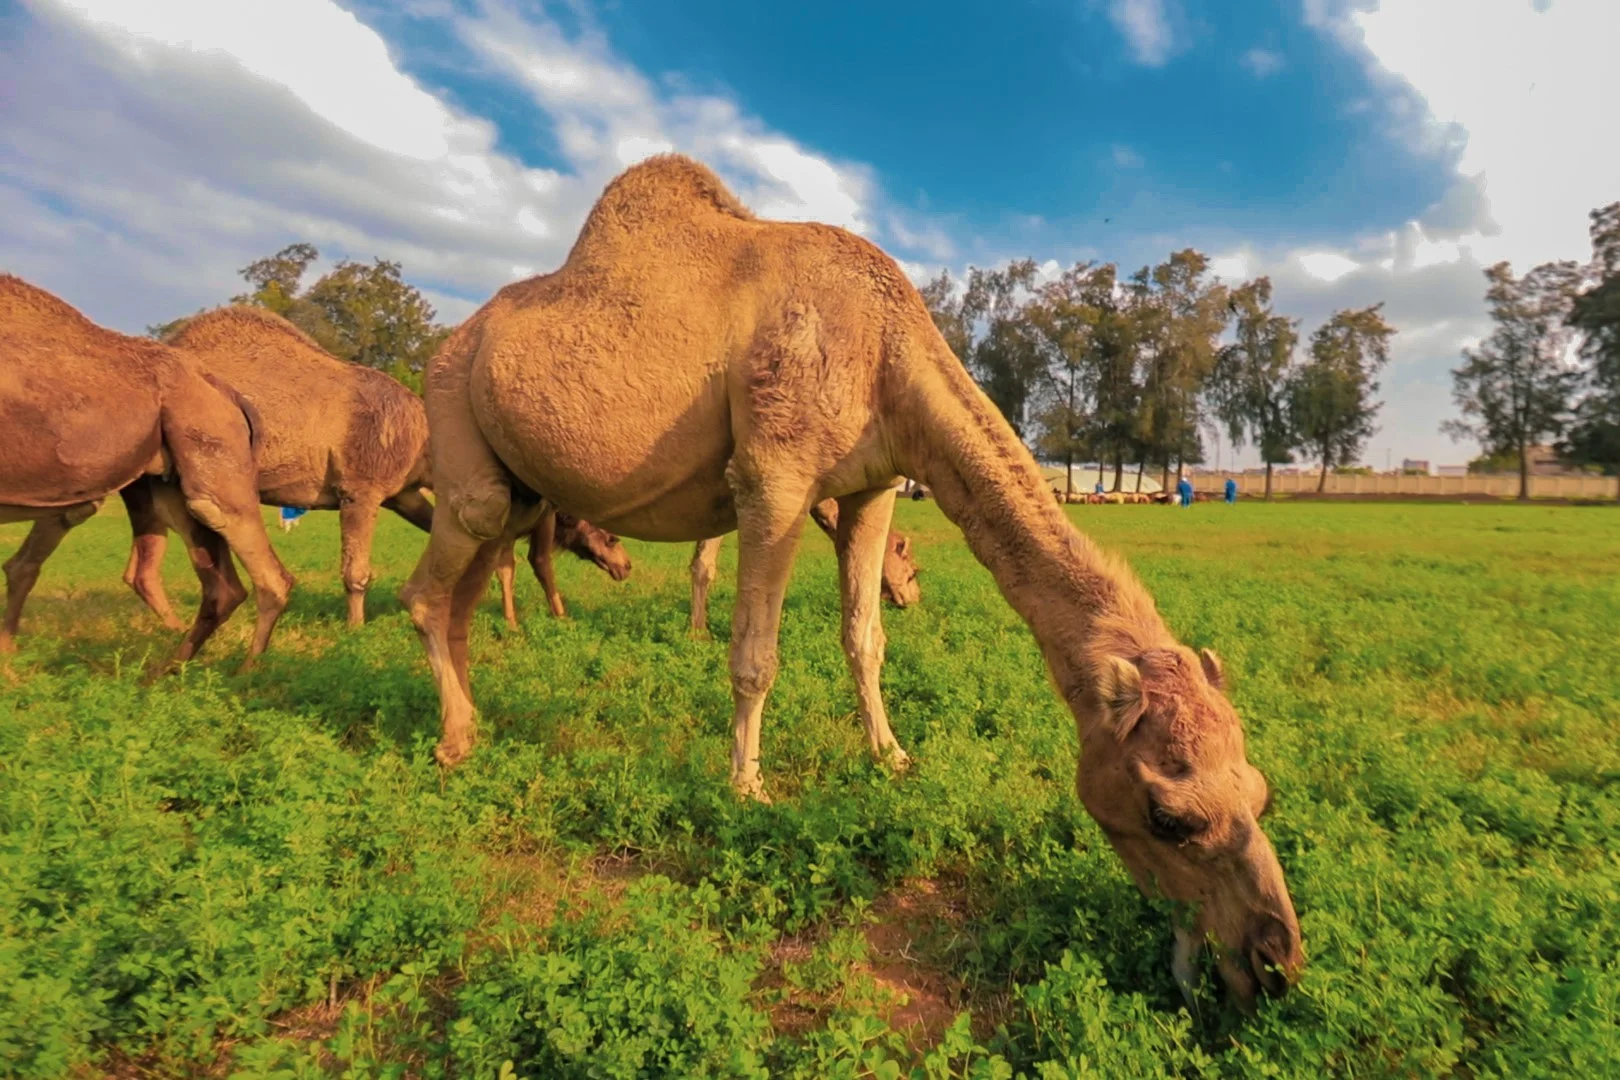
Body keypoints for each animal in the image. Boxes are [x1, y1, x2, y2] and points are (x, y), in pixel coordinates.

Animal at [1, 275, 293, 666]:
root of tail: (224, 389)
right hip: (166, 473)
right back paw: (165, 670)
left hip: (206, 437)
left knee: (247, 551)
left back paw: (242, 671)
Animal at [401, 156, 1301, 1005]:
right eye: (1168, 815)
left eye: (1260, 793)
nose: (1275, 960)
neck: (885, 350)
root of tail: (445, 348)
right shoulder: (773, 477)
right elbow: (754, 655)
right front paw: (748, 788)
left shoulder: (872, 486)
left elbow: (864, 637)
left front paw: (891, 755)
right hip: (458, 431)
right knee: (428, 589)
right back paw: (450, 742)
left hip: (519, 486)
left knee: (469, 587)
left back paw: (473, 723)